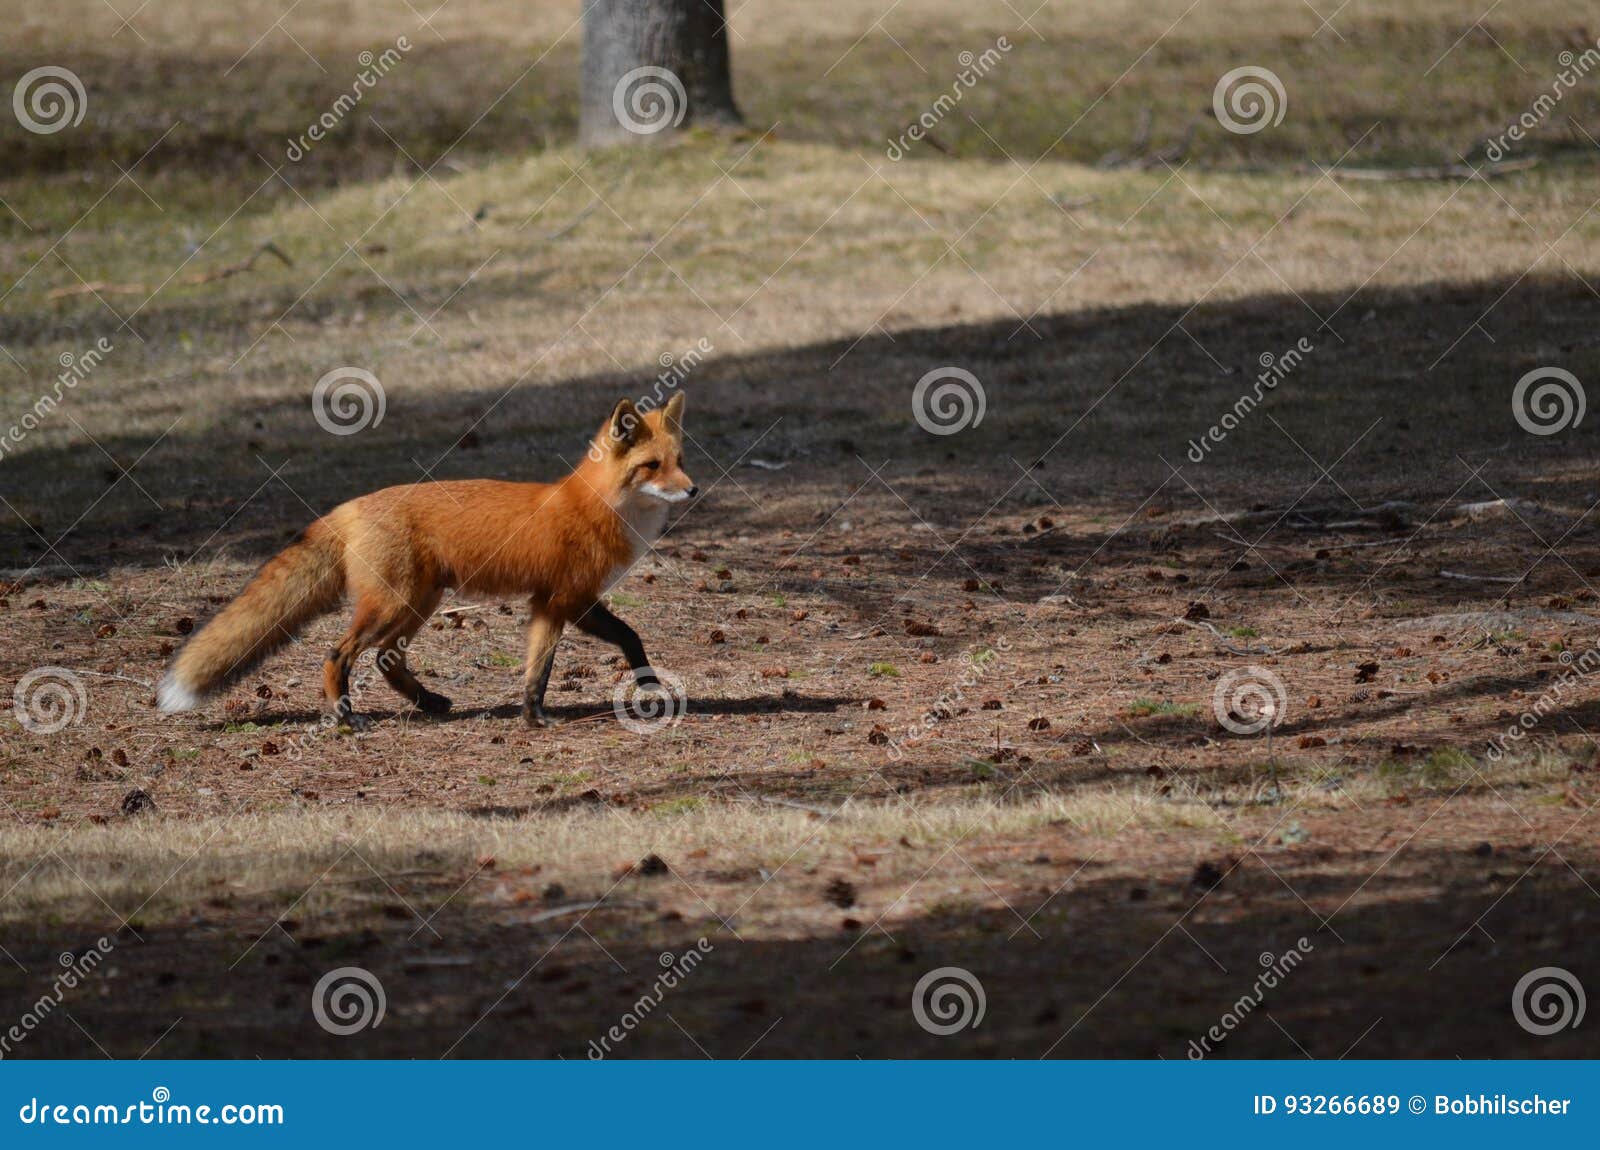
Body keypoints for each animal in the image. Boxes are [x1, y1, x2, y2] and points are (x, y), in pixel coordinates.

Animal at [157, 392, 696, 729]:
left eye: (680, 460)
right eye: (651, 466)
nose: (692, 490)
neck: (595, 507)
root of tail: (347, 506)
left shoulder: (548, 603)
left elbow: (539, 671)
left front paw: (534, 717)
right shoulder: (572, 597)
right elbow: (628, 636)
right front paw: (650, 686)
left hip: (420, 602)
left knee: (386, 659)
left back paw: (430, 702)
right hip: (391, 605)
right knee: (338, 655)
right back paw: (347, 717)